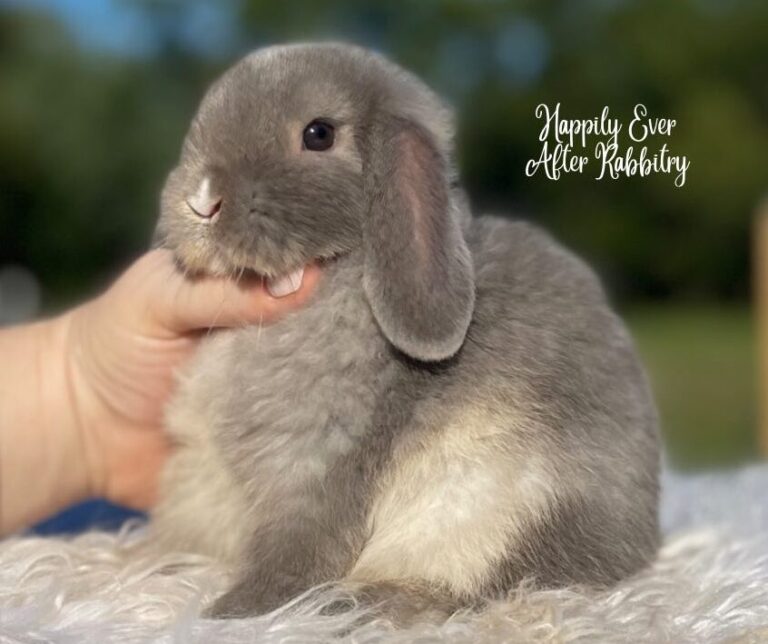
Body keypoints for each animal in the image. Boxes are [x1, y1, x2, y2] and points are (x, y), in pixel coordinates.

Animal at [151, 42, 661, 624]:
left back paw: (358, 602)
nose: (201, 200)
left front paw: (233, 612)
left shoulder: (319, 467)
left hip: (501, 510)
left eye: (318, 134)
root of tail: (632, 548)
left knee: (471, 587)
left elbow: (295, 550)